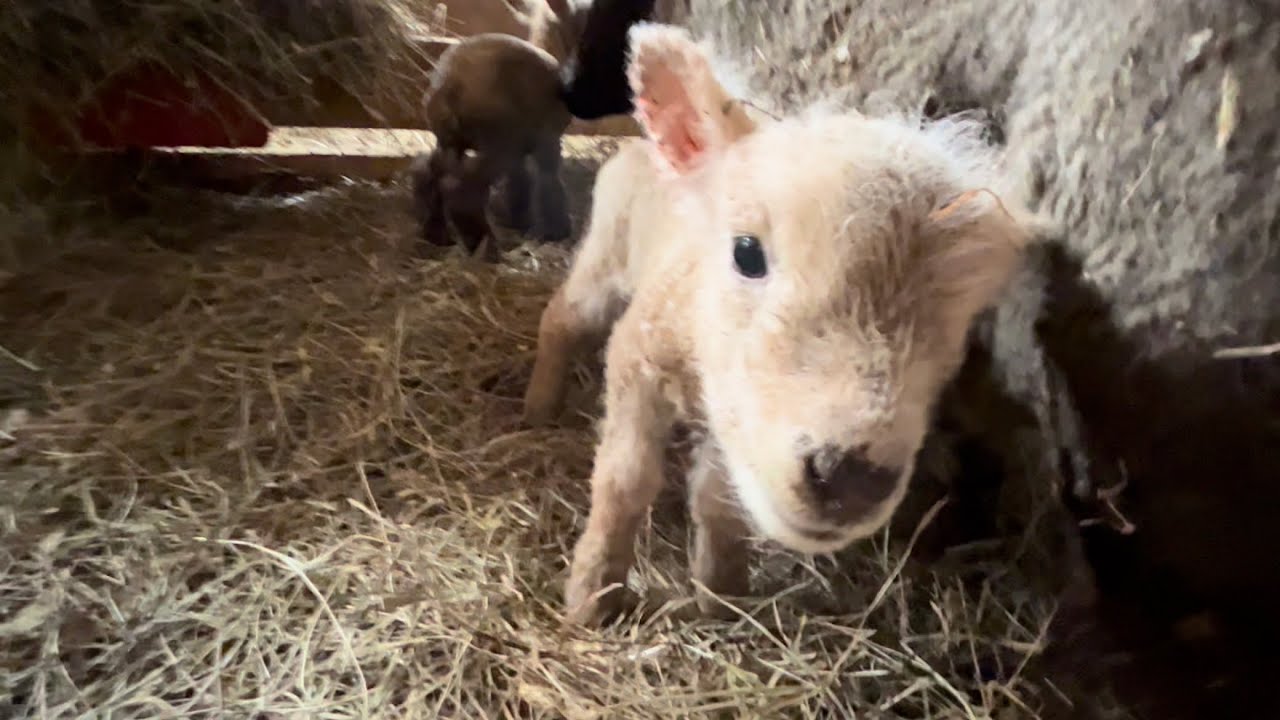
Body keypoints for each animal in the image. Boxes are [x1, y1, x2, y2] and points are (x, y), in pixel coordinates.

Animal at [411, 33, 572, 260]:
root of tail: (450, 85)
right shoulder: (544, 137)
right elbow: (548, 177)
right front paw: (556, 231)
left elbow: (520, 178)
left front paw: (519, 222)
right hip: (497, 140)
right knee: (464, 187)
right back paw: (482, 245)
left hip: (450, 139)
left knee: (432, 171)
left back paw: (437, 233)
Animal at [521, 23, 1038, 626]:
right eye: (747, 253)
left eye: (962, 321)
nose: (851, 478)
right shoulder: (637, 355)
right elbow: (623, 481)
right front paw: (593, 594)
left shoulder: (738, 417)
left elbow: (718, 499)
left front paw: (721, 593)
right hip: (605, 256)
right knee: (561, 317)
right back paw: (540, 401)